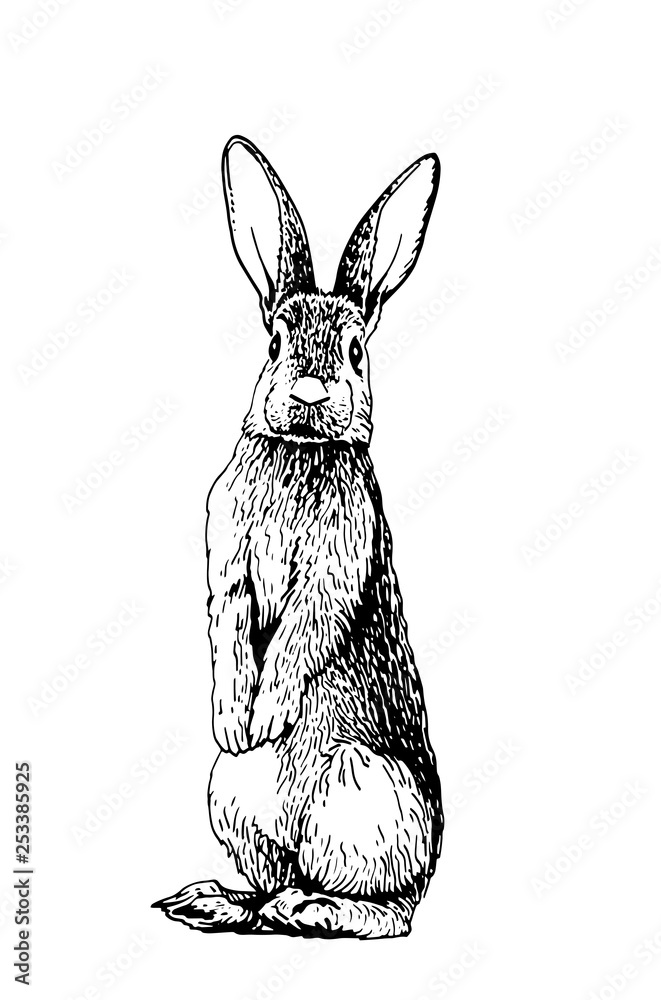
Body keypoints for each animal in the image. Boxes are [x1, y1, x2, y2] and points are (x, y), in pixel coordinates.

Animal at [153, 136, 443, 939]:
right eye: (276, 341)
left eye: (355, 351)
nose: (310, 394)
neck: (300, 448)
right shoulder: (229, 572)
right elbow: (228, 628)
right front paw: (234, 723)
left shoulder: (331, 571)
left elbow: (303, 634)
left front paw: (267, 717)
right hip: (233, 802)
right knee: (268, 883)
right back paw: (216, 901)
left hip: (368, 800)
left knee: (390, 910)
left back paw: (316, 908)